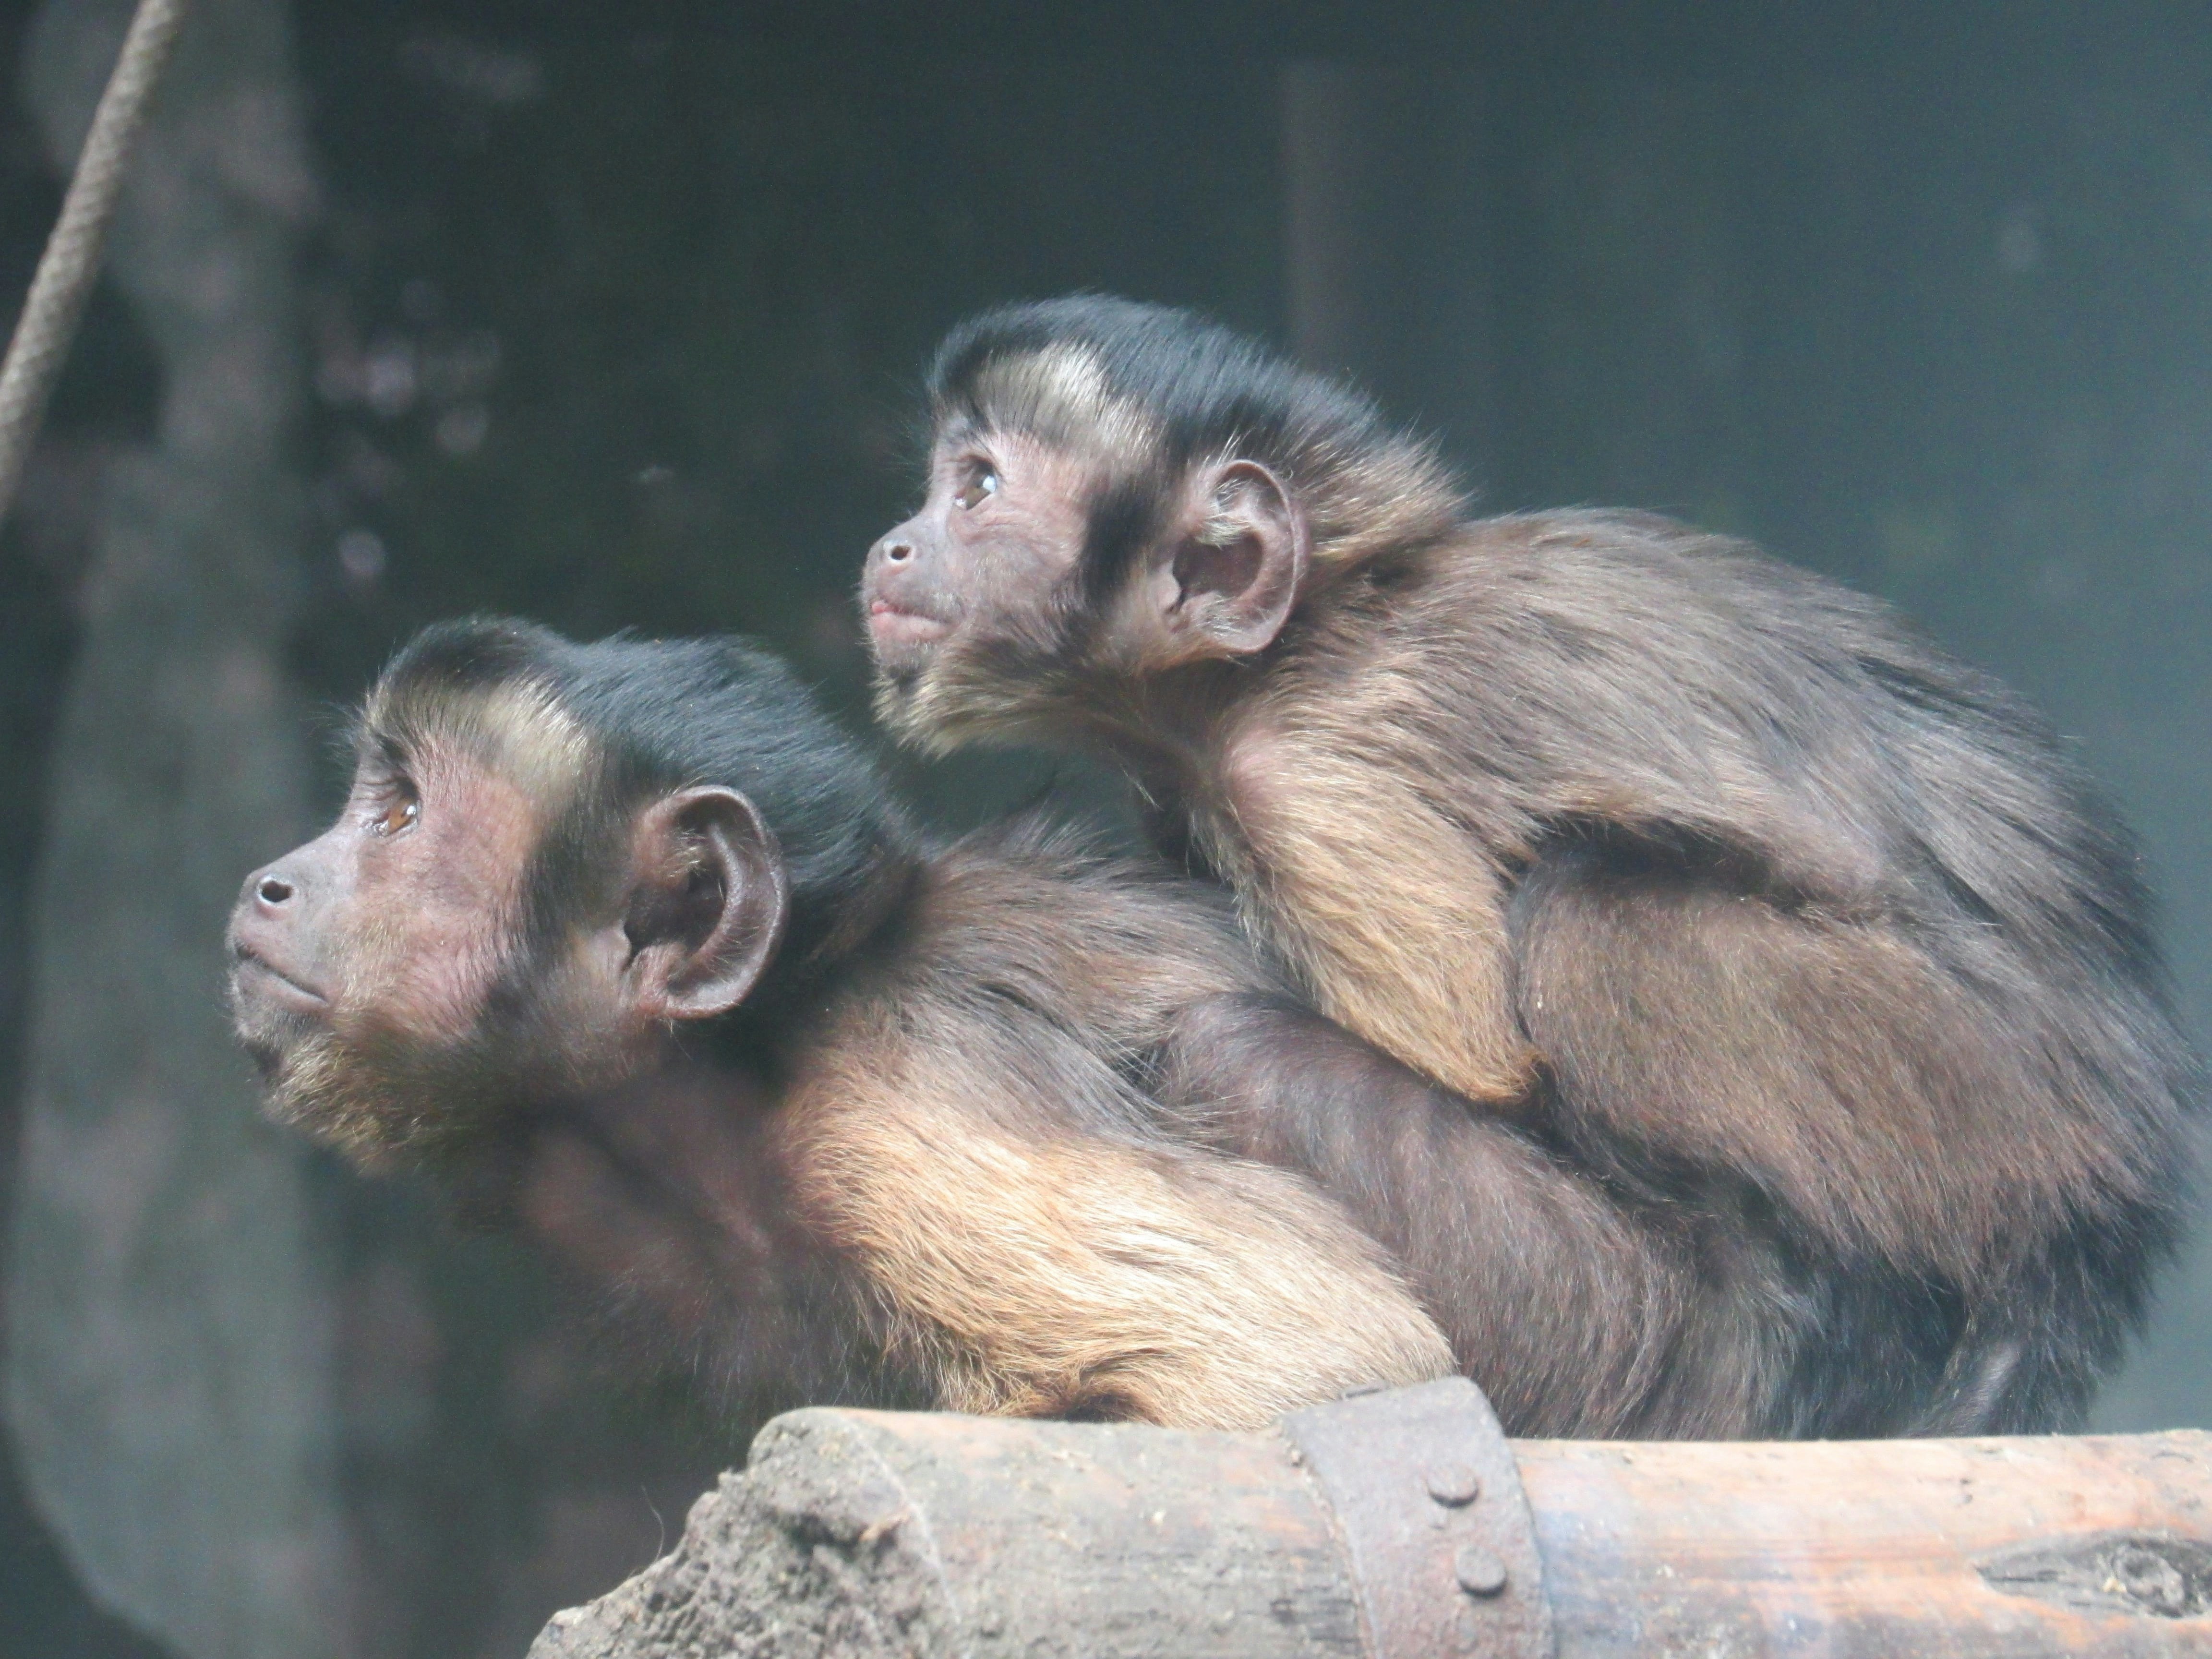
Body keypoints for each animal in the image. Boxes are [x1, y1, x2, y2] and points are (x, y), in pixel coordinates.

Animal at [859, 294, 2197, 1436]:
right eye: (940, 483)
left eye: (978, 489)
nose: (893, 545)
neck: (1305, 643)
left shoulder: (1321, 779)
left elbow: (1488, 1075)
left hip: (1970, 1100)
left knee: (1579, 922)